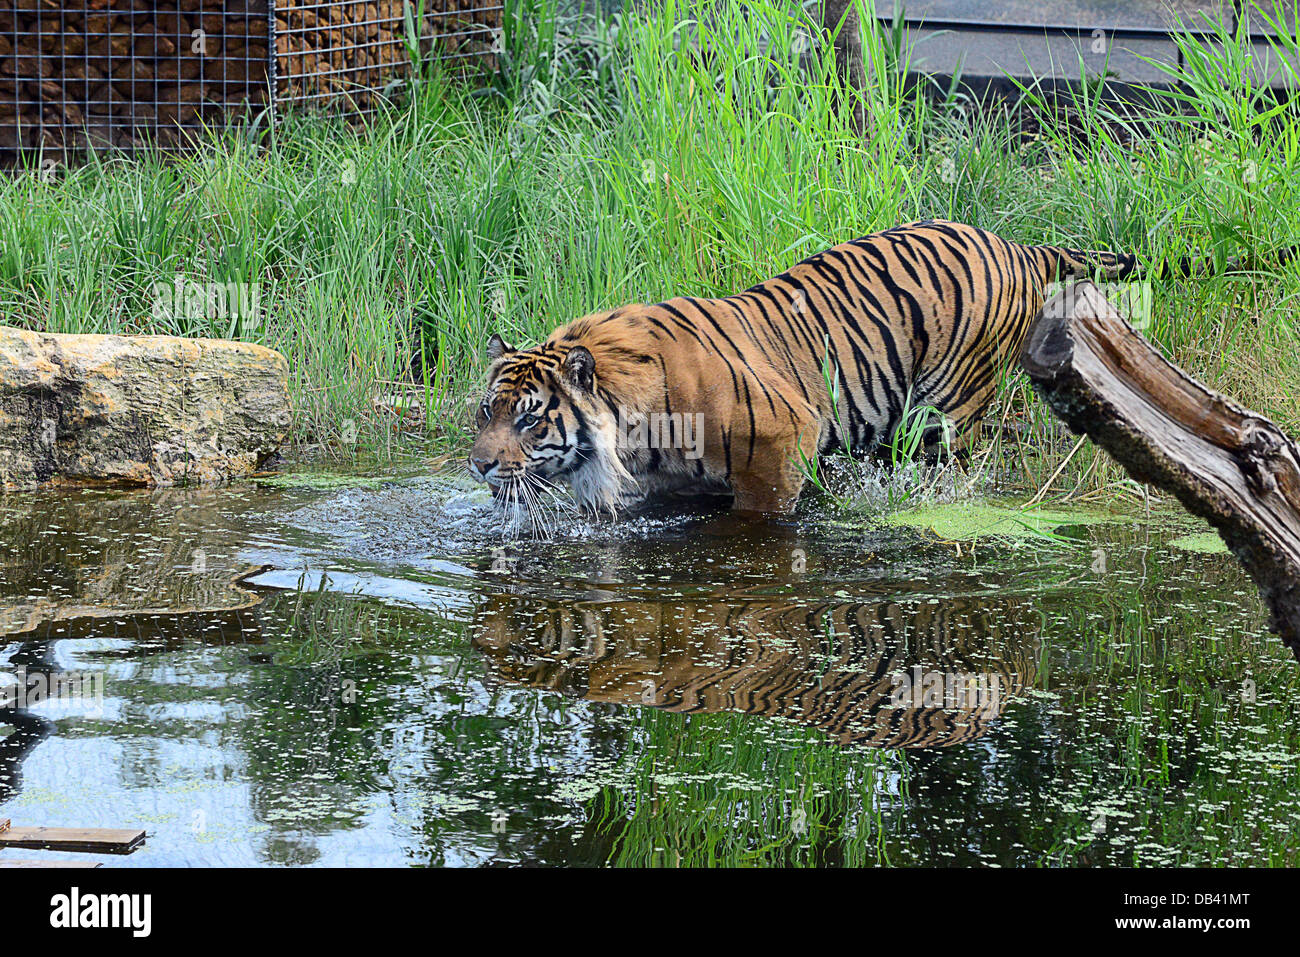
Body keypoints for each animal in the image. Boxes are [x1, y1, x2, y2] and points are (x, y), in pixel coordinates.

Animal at [468, 219, 1242, 514]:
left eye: (531, 421)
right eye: (486, 414)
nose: (477, 466)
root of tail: (1019, 245)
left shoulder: (778, 442)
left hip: (949, 412)